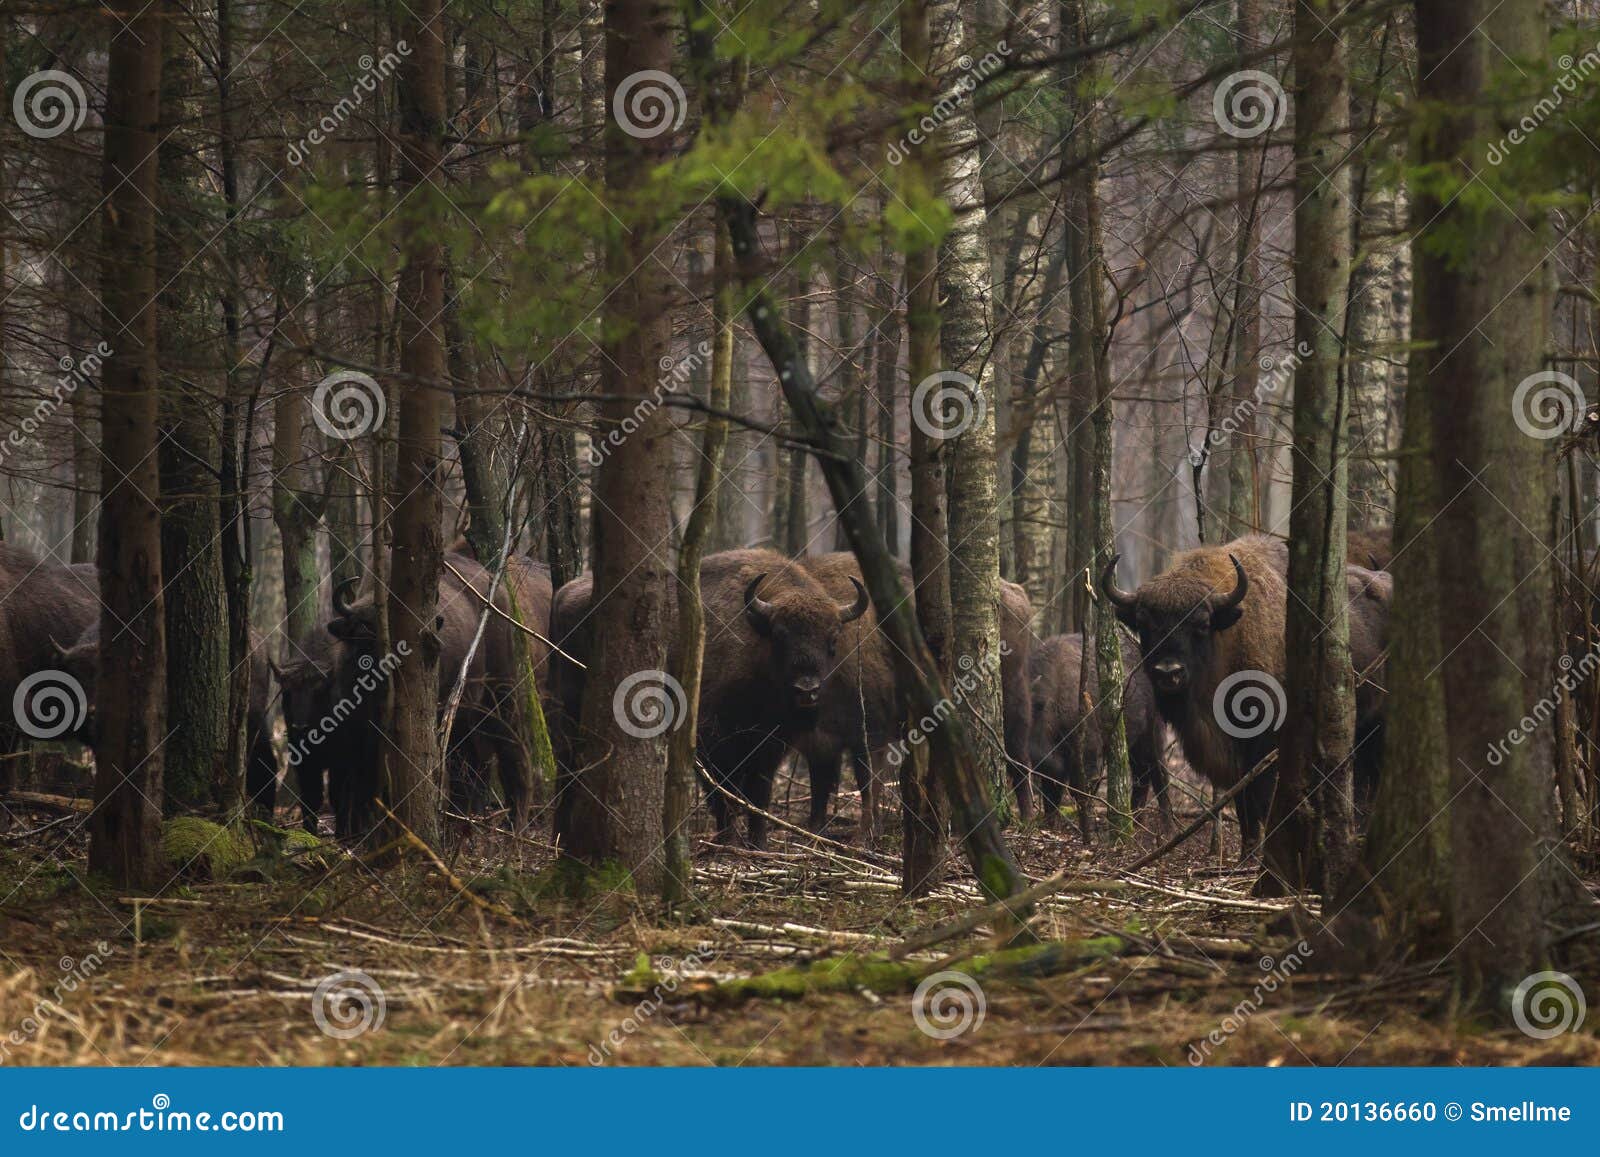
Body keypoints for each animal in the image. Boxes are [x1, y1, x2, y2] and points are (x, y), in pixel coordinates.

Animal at [1027, 631, 1172, 832]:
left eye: (1038, 708)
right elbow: (1052, 795)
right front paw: (1050, 826)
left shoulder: (1089, 753)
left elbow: (1080, 790)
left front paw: (1088, 828)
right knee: (1141, 777)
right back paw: (1135, 821)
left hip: (1152, 736)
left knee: (1160, 775)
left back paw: (1166, 827)